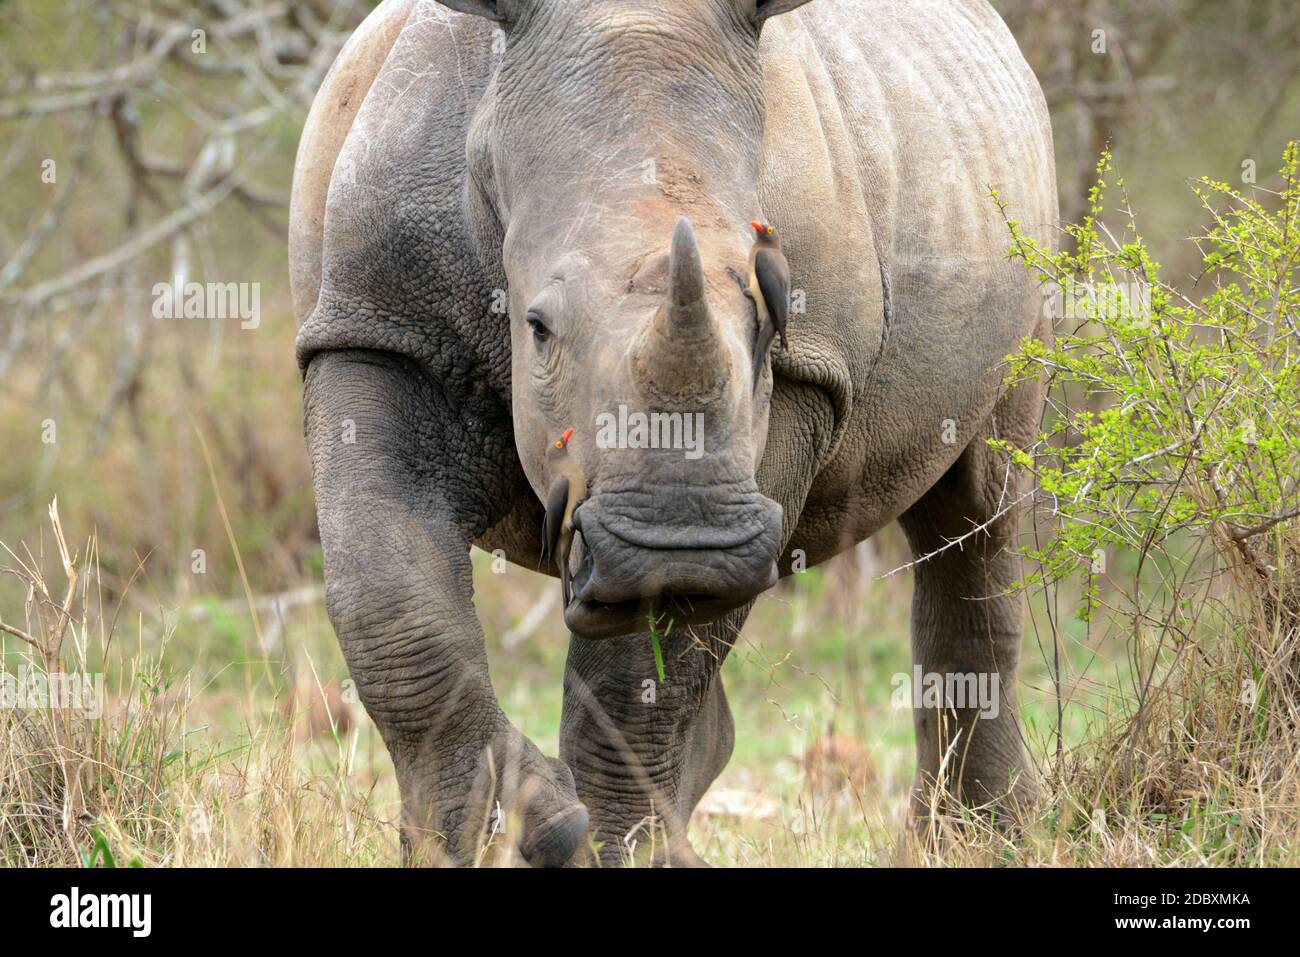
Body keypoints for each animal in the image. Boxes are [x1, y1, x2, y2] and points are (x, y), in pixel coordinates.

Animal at [289, 0, 1057, 866]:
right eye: (538, 327)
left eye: (773, 320)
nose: (681, 549)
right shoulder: (374, 328)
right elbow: (387, 596)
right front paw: (509, 834)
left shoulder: (805, 373)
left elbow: (647, 672)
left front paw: (608, 847)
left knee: (979, 511)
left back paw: (981, 839)